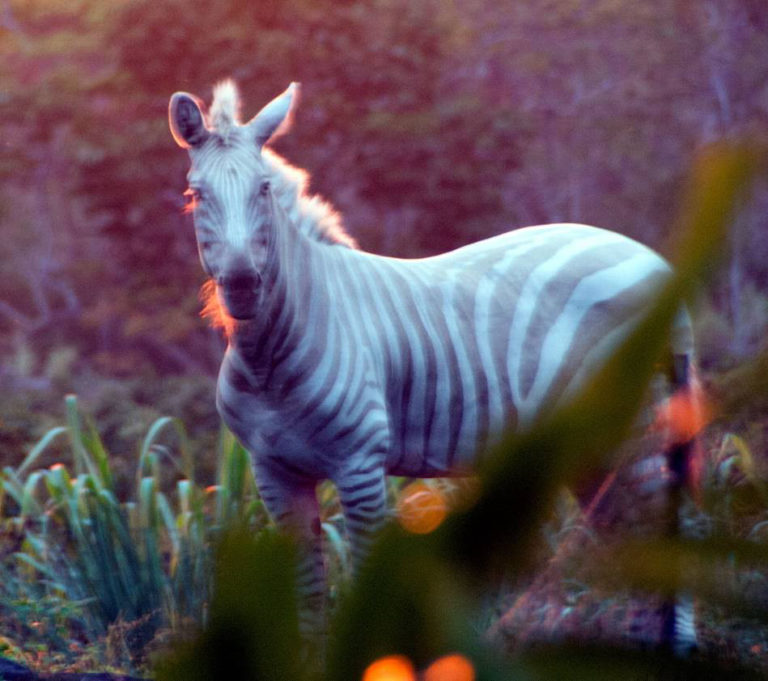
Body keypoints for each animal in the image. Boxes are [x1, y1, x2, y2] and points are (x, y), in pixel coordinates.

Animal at [168, 81, 698, 650]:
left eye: (264, 189)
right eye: (195, 196)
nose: (243, 287)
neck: (271, 357)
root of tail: (658, 264)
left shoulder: (360, 465)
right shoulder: (275, 474)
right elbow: (307, 599)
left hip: (642, 431)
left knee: (680, 533)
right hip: (594, 449)